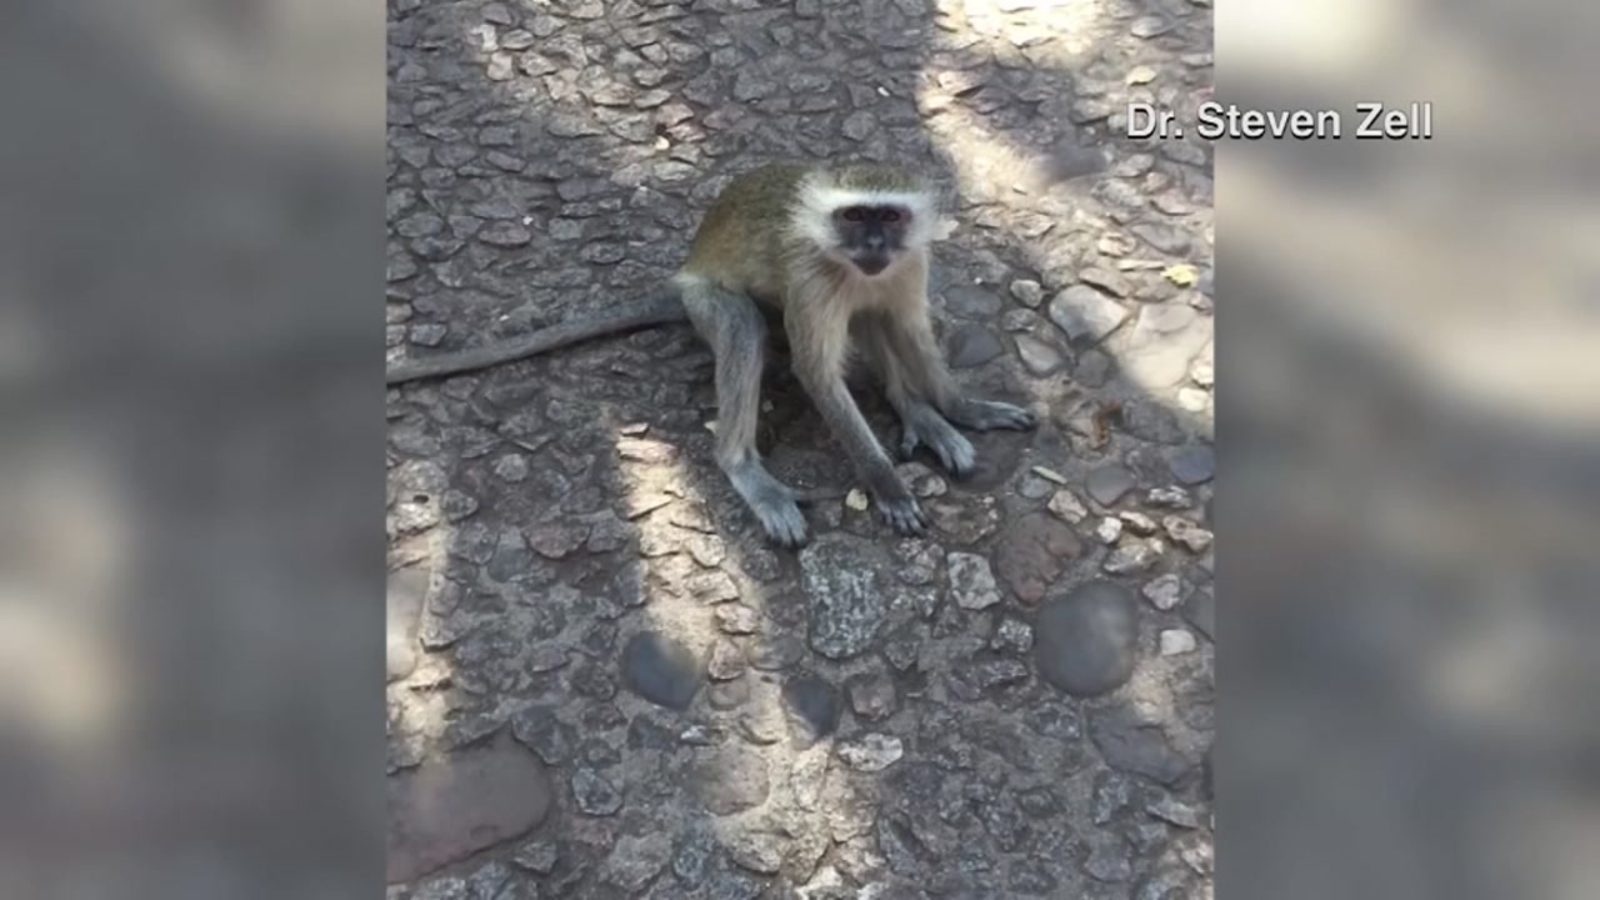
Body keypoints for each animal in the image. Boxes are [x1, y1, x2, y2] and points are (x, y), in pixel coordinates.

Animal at [388, 162, 1038, 547]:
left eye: (890, 217)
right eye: (854, 216)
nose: (874, 244)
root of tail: (681, 279)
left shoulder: (907, 264)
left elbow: (911, 333)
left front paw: (963, 409)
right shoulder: (813, 277)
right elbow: (817, 375)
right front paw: (887, 485)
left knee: (872, 318)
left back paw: (921, 416)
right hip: (706, 303)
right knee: (745, 327)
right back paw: (745, 469)